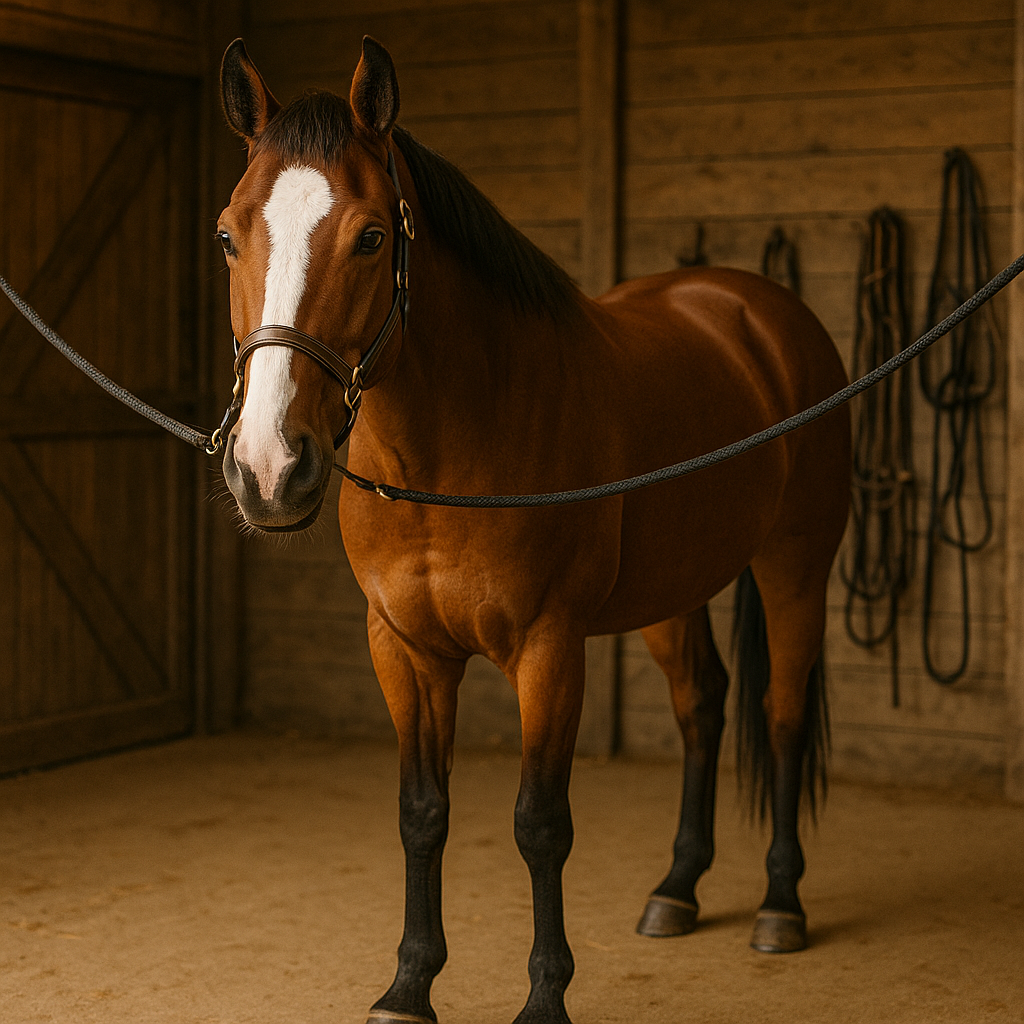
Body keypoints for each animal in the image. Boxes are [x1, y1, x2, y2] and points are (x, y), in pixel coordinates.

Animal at [216, 36, 852, 1024]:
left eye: (371, 237)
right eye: (227, 236)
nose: (270, 469)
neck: (450, 456)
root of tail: (762, 314)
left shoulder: (550, 650)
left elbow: (539, 823)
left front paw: (545, 996)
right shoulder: (403, 649)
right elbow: (422, 811)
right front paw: (409, 985)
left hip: (794, 569)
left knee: (780, 715)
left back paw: (780, 905)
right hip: (671, 594)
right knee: (703, 704)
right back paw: (677, 889)